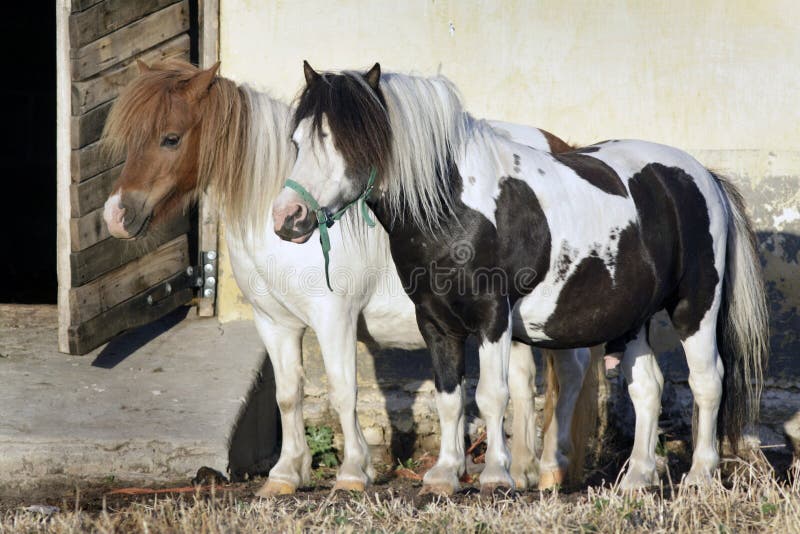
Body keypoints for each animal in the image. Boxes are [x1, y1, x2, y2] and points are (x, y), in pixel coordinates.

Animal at [100, 59, 600, 496]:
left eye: (170, 138)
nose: (116, 215)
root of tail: (560, 147)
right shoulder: (274, 322)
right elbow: (288, 394)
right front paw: (286, 475)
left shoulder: (333, 317)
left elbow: (343, 391)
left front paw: (354, 472)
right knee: (522, 383)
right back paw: (523, 469)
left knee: (568, 375)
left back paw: (550, 470)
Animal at [272, 62, 769, 495]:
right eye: (296, 141)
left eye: (351, 142)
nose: (287, 218)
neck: (457, 207)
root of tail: (704, 177)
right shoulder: (435, 322)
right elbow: (450, 397)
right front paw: (444, 477)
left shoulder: (493, 317)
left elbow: (494, 395)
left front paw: (496, 477)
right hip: (634, 321)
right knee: (648, 389)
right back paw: (636, 480)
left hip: (695, 308)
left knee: (707, 383)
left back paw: (700, 476)